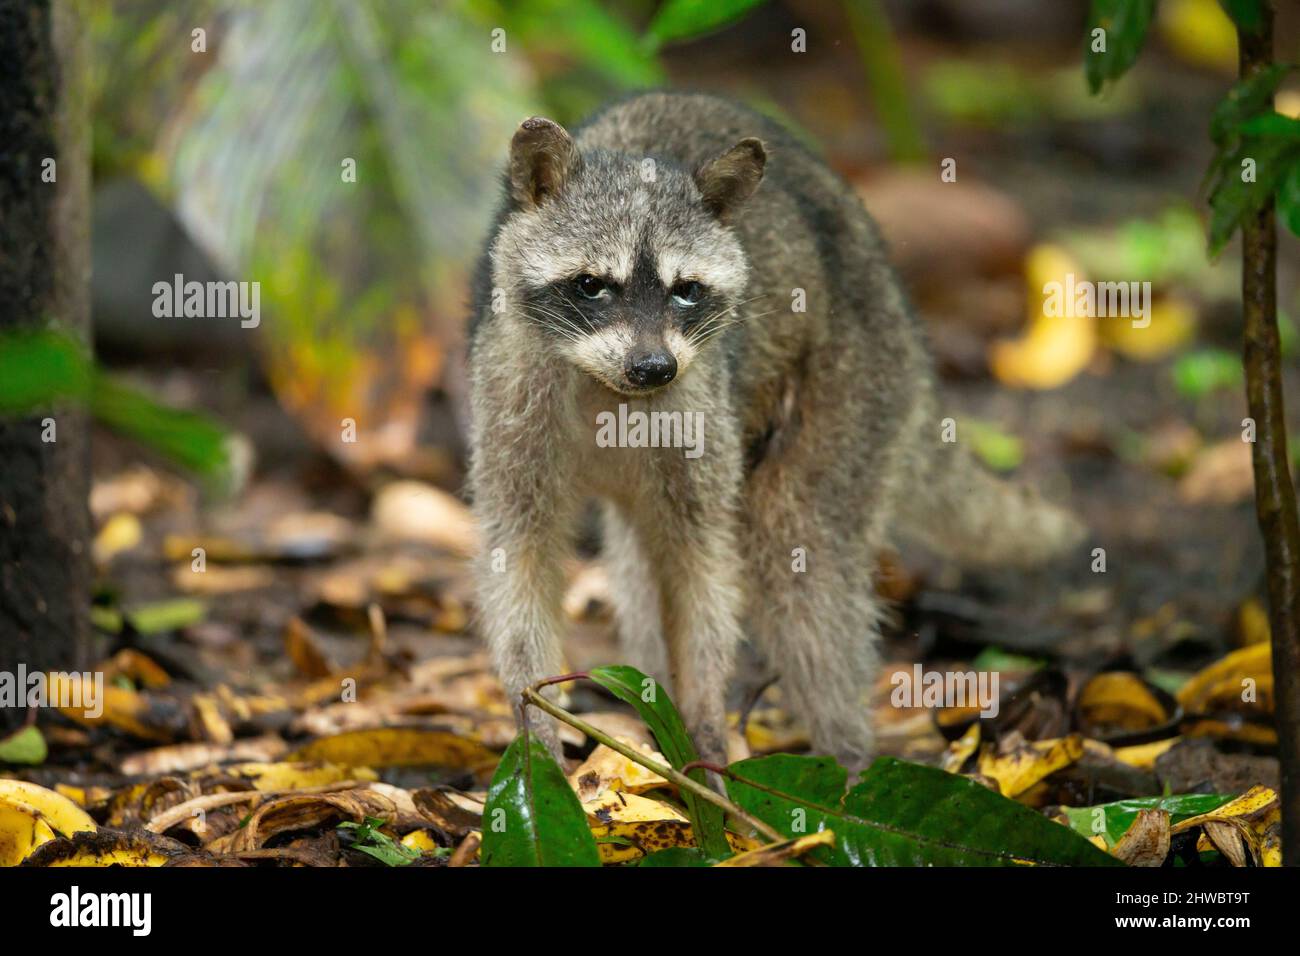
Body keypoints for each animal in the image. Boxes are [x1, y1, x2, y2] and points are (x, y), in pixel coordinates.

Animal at [467, 92, 1084, 771]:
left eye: (686, 291)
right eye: (591, 285)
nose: (654, 367)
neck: (605, 384)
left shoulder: (698, 410)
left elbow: (704, 569)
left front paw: (706, 721)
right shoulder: (510, 402)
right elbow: (518, 556)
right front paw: (537, 730)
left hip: (852, 378)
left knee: (800, 551)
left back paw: (846, 760)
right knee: (647, 568)